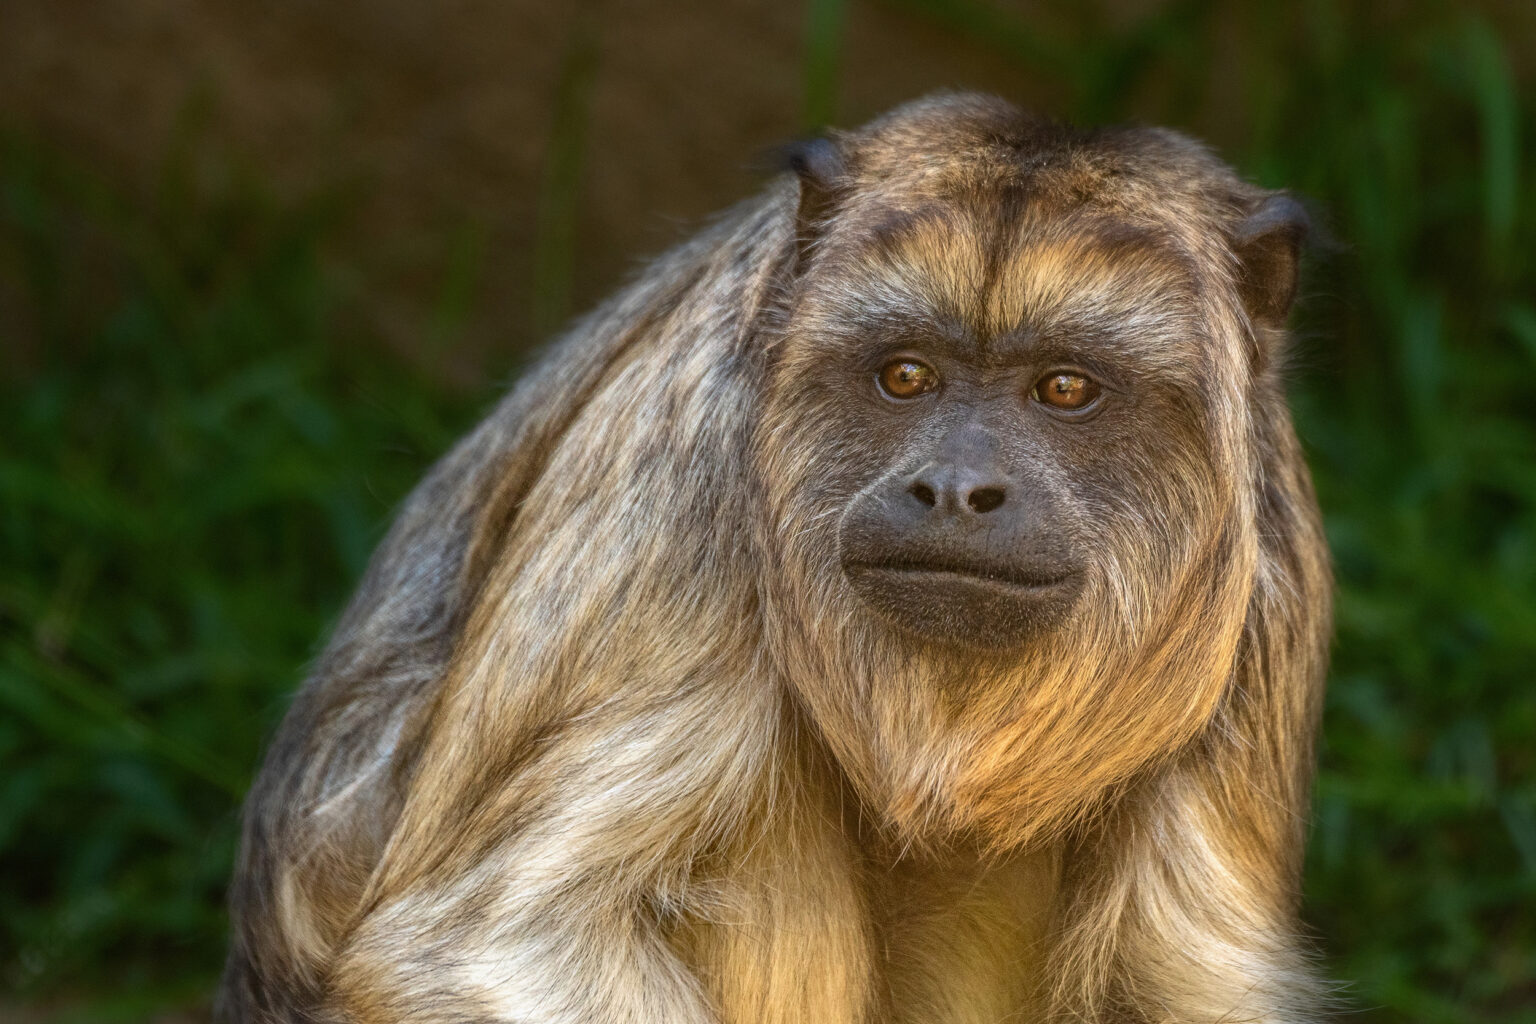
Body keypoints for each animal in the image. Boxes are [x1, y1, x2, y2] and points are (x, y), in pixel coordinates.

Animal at [219, 92, 1332, 1024]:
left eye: (1066, 389)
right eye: (905, 376)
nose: (954, 488)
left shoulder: (1268, 586)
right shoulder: (690, 483)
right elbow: (486, 942)